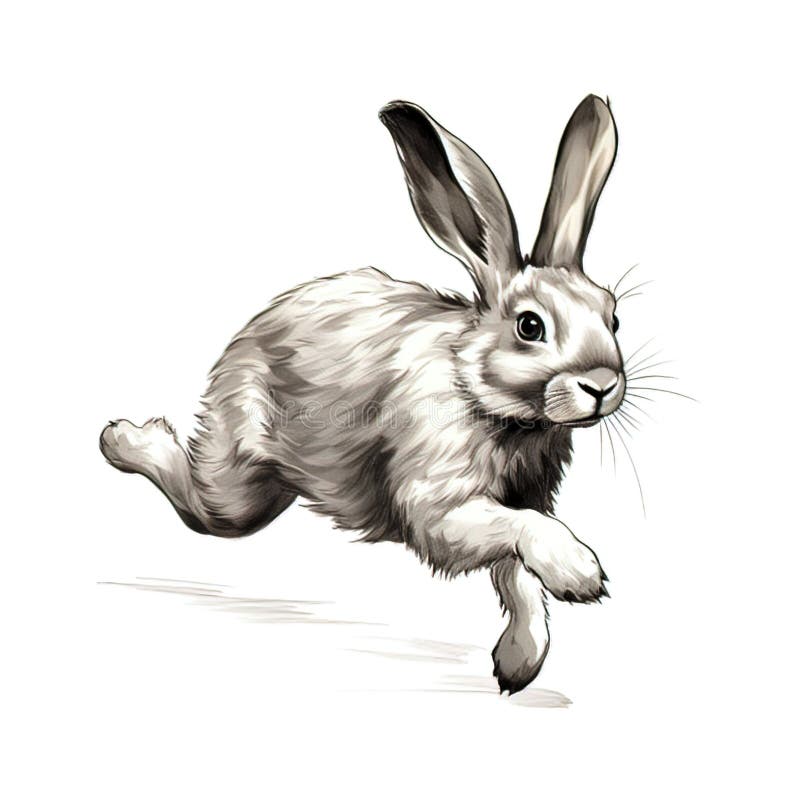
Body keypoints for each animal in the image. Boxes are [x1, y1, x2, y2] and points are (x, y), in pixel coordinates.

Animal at [100, 94, 624, 694]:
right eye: (530, 326)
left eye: (614, 317)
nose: (602, 385)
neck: (478, 390)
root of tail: (248, 334)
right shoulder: (438, 502)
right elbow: (518, 533)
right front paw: (582, 575)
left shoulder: (521, 497)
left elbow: (517, 579)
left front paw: (519, 663)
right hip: (238, 479)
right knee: (201, 503)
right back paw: (123, 439)